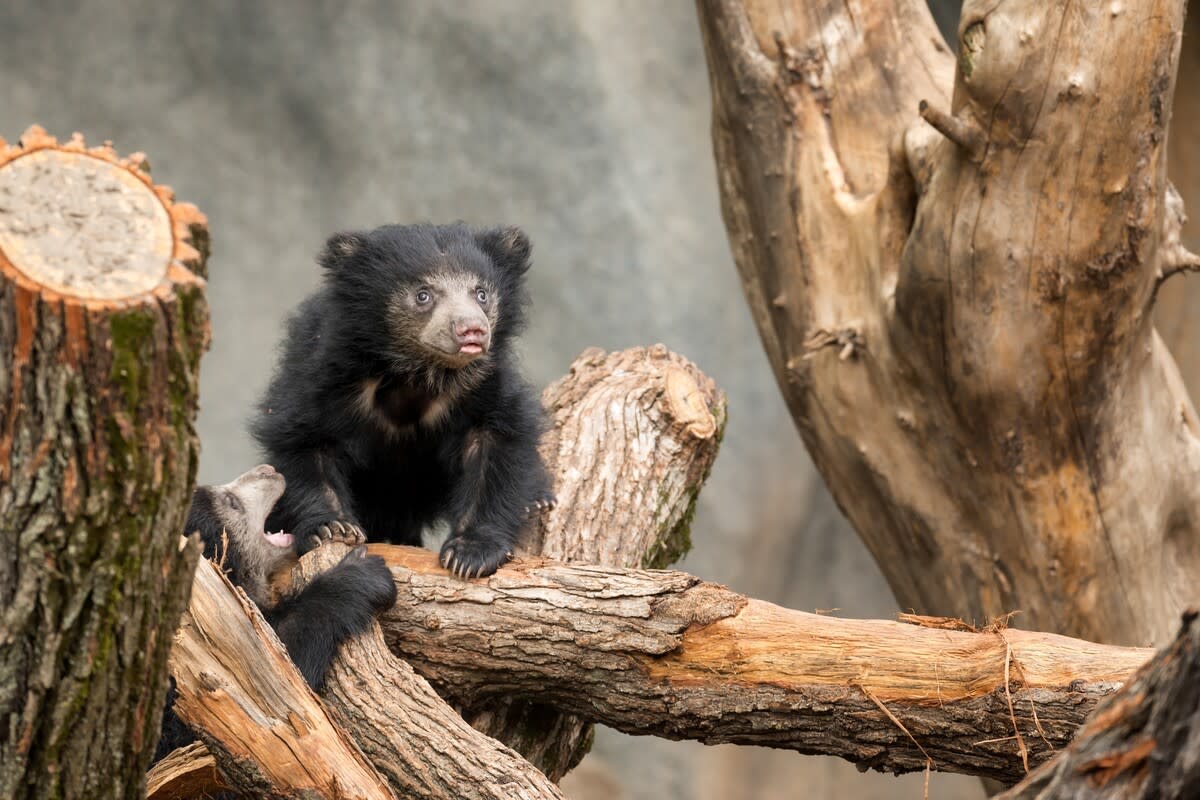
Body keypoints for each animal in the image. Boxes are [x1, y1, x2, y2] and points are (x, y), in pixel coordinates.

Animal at [251, 222, 552, 580]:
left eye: (481, 293)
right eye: (423, 295)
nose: (472, 331)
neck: (417, 371)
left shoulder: (484, 385)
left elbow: (494, 445)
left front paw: (470, 554)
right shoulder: (324, 374)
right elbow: (306, 441)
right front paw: (333, 528)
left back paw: (538, 500)